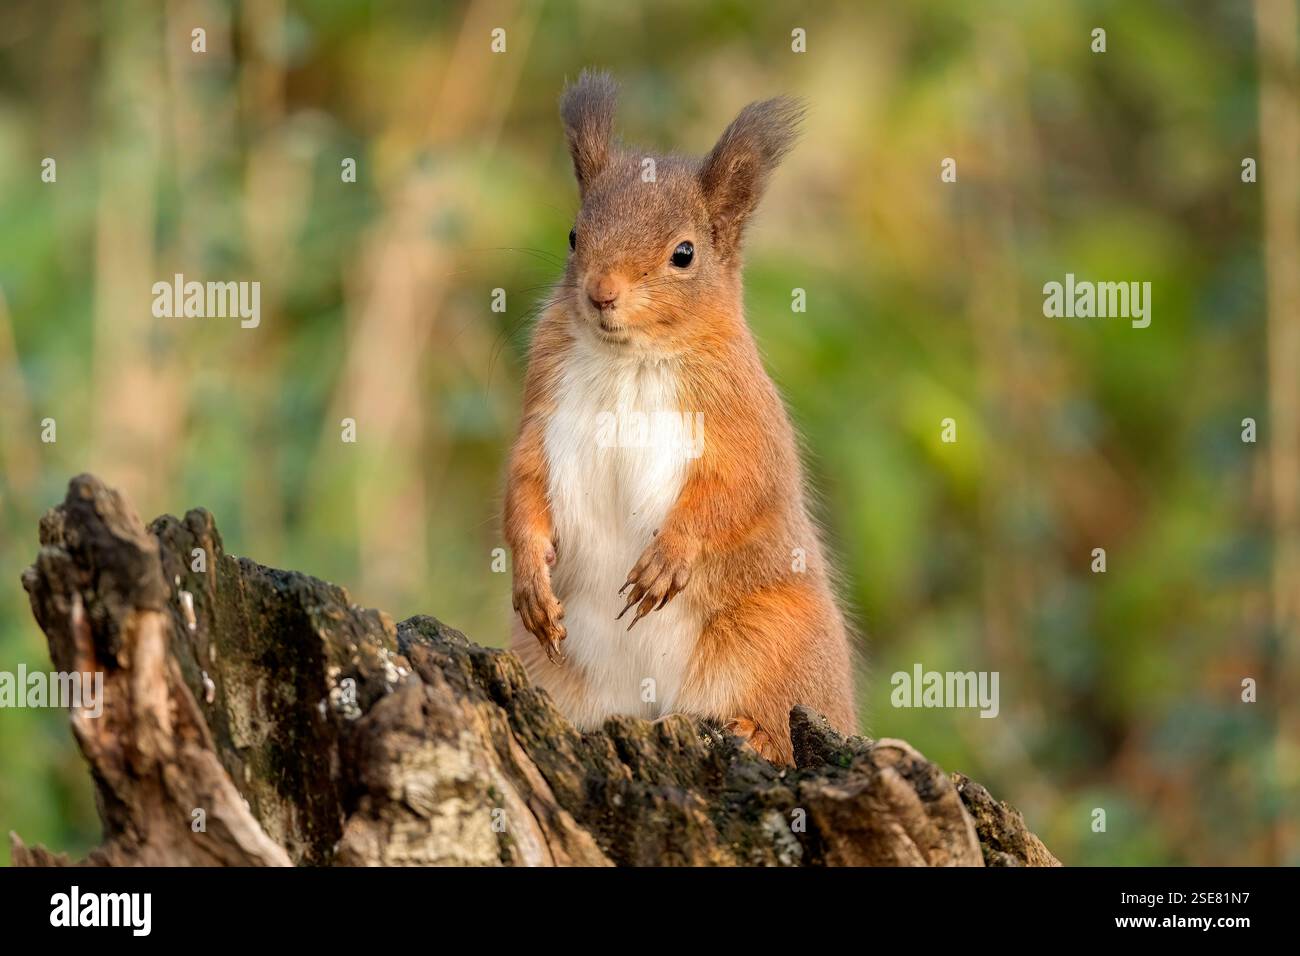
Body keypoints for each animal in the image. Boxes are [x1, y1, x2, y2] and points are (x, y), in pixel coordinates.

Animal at [503, 70, 855, 764]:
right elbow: (523, 485)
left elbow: (739, 490)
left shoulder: (741, 424)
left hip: (777, 639)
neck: (629, 359)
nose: (601, 293)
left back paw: (755, 732)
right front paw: (530, 577)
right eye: (574, 235)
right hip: (548, 669)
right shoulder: (543, 414)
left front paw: (667, 561)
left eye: (684, 254)